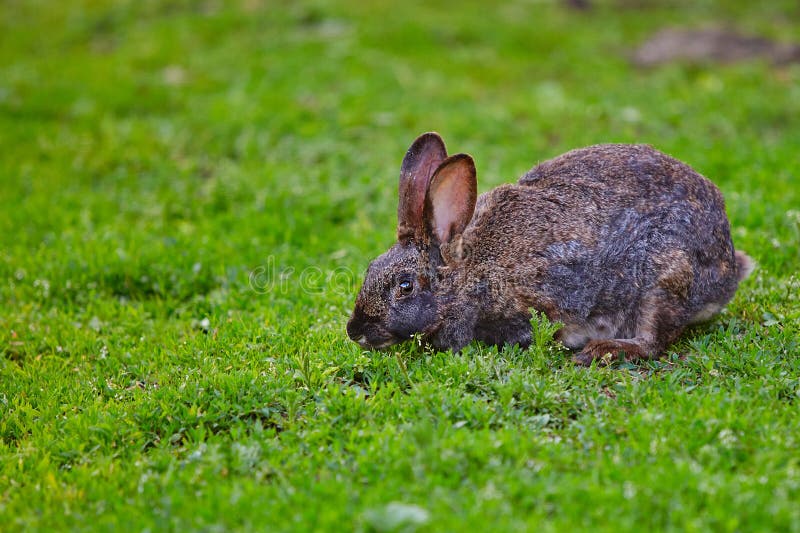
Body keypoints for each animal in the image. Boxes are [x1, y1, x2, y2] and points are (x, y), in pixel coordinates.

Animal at [346, 132, 754, 365]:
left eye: (405, 286)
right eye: (369, 268)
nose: (355, 331)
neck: (470, 276)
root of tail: (727, 267)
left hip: (665, 274)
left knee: (655, 338)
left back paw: (605, 350)